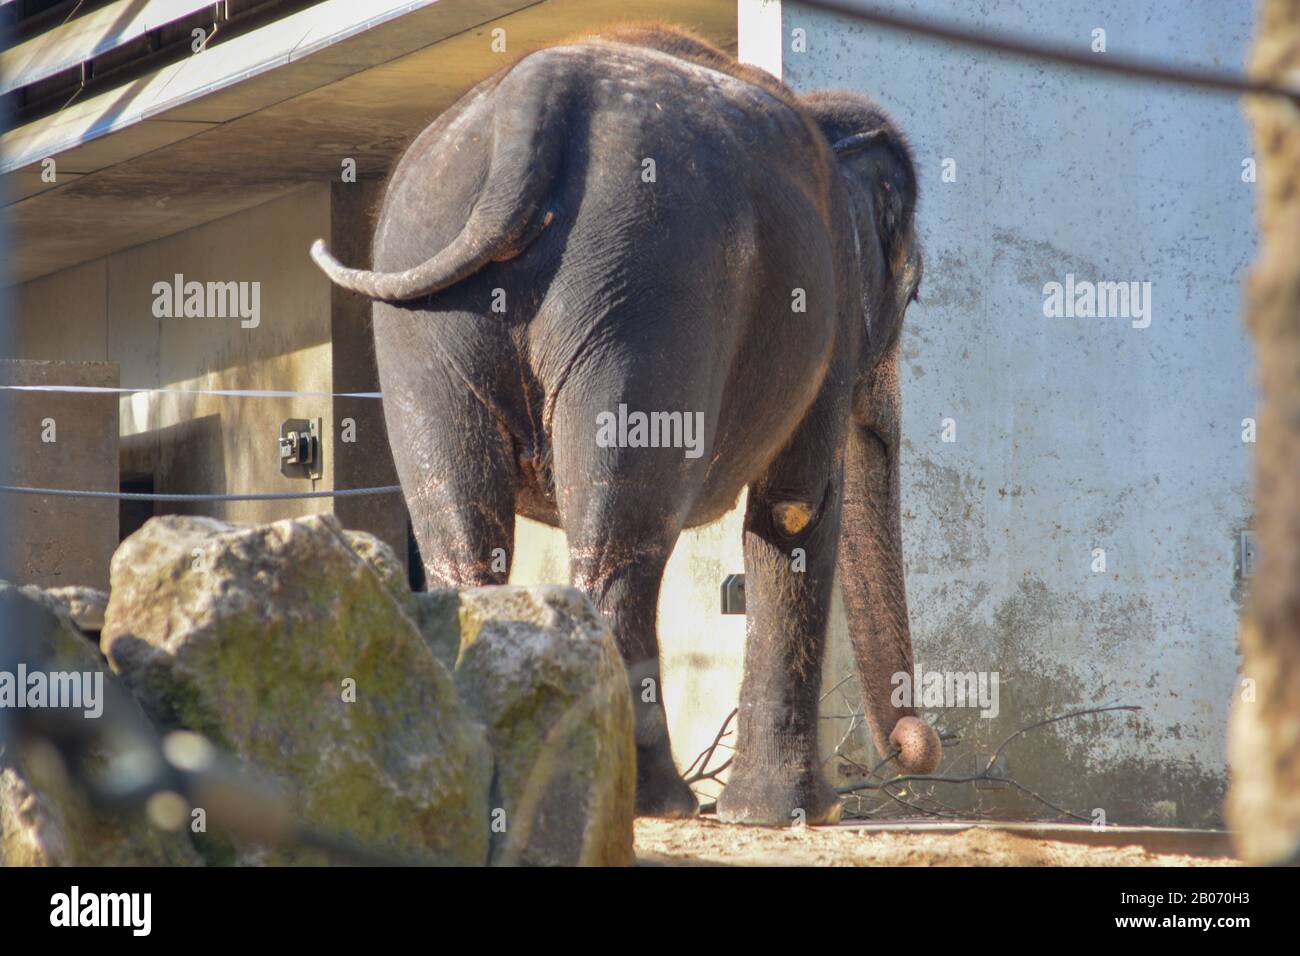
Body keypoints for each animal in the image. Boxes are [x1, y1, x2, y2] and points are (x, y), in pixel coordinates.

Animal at [311, 24, 940, 825]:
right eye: (913, 293)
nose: (920, 745)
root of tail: (534, 98)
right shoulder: (820, 321)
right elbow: (794, 511)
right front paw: (792, 815)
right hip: (652, 286)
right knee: (624, 537)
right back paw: (654, 801)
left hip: (427, 302)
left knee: (461, 530)